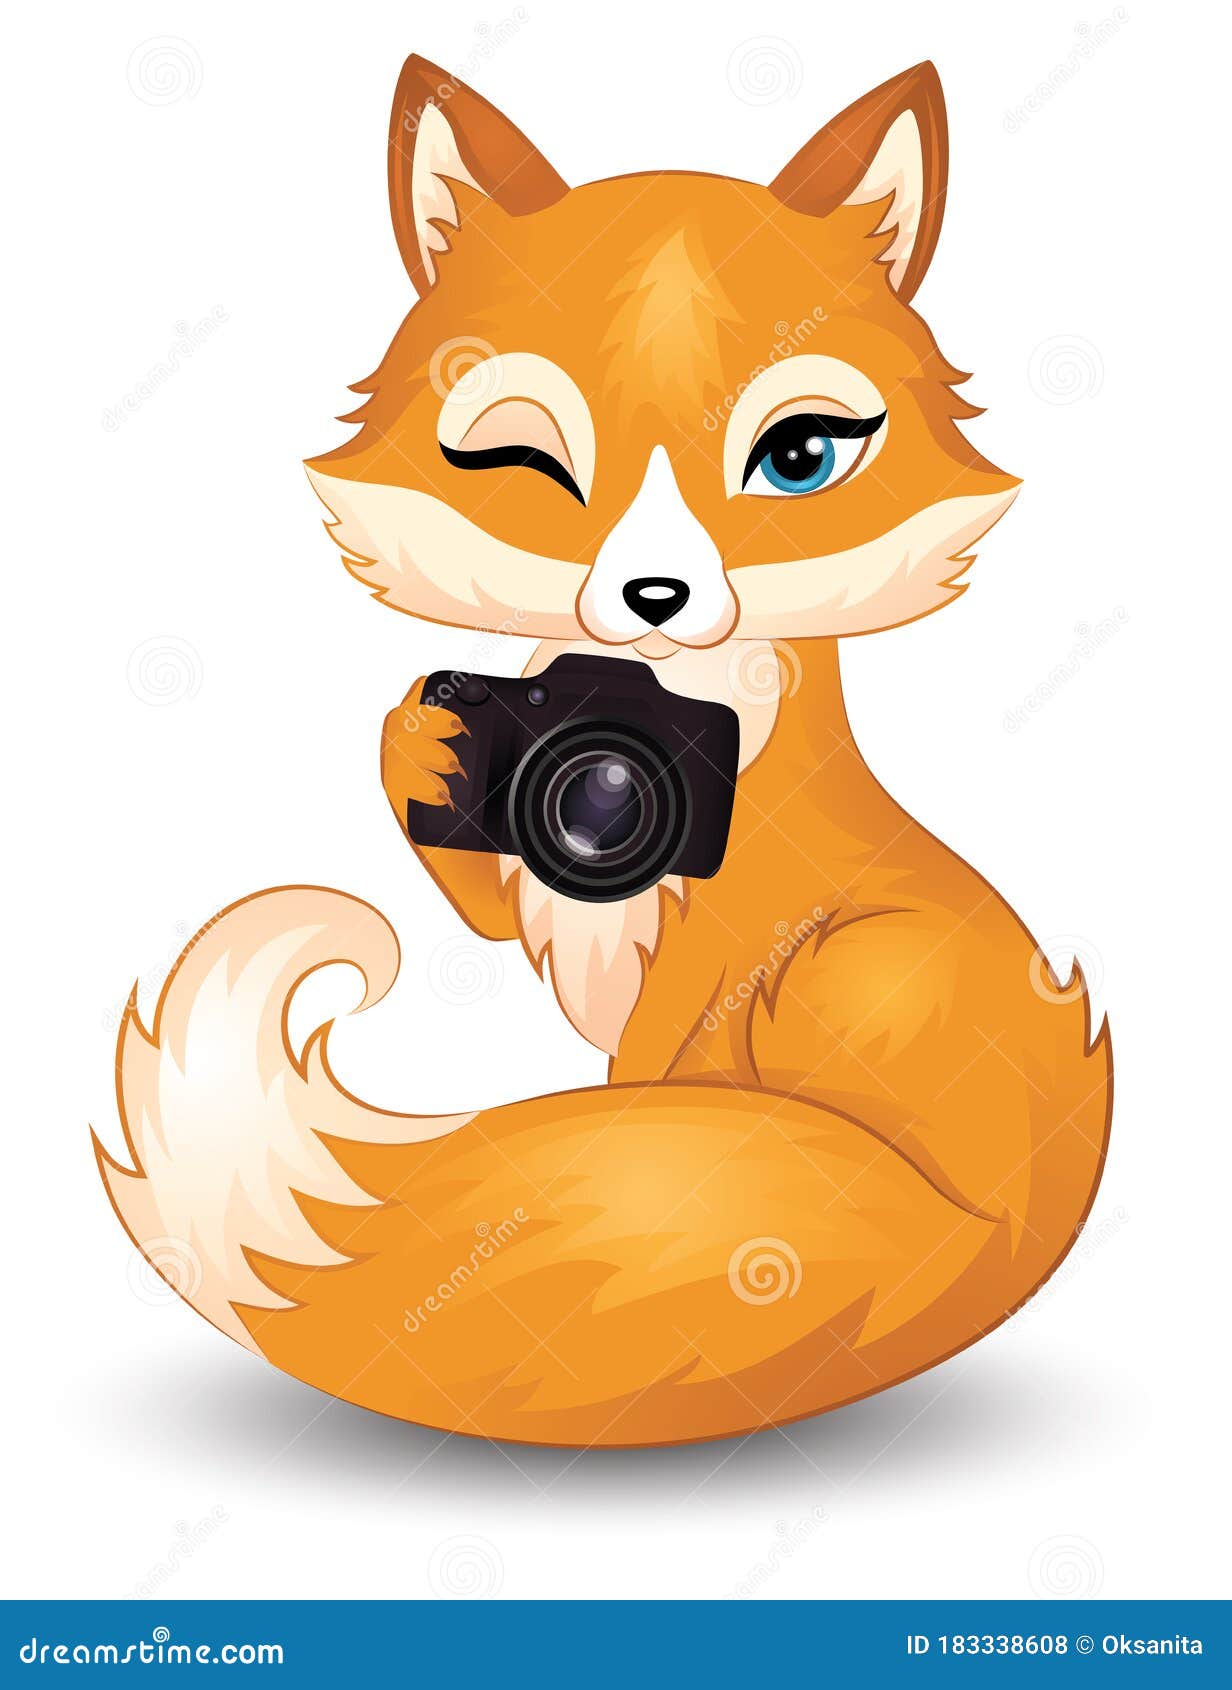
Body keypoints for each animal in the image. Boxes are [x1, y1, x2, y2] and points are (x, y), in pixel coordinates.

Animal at [96, 55, 1111, 1448]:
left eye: (798, 458)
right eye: (522, 461)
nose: (652, 596)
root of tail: (1017, 1221)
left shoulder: (720, 937)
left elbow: (655, 1054)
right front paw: (416, 740)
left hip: (862, 968)